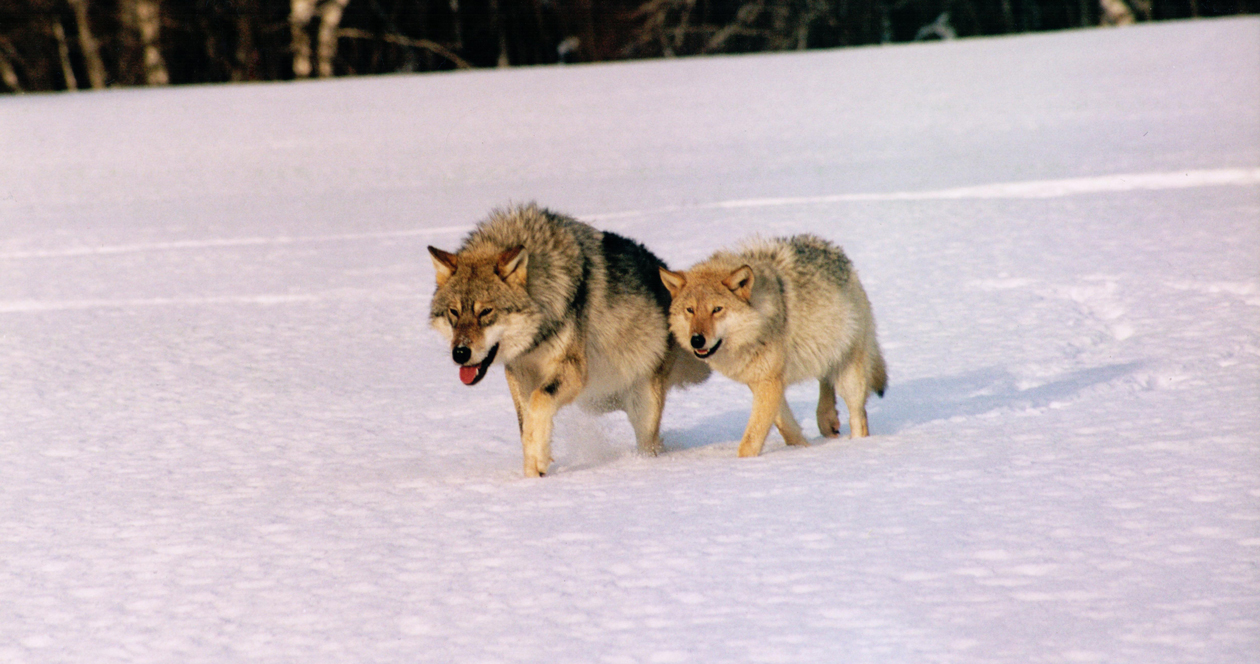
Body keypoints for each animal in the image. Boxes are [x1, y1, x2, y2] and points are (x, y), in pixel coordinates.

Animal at [428, 204, 709, 477]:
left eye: (485, 311)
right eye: (454, 312)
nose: (460, 353)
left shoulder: (572, 370)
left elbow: (539, 401)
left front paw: (538, 462)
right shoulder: (519, 371)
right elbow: (525, 422)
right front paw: (532, 474)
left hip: (642, 406)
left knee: (650, 444)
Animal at [659, 234, 886, 458]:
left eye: (717, 309)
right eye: (690, 310)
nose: (696, 340)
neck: (757, 325)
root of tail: (842, 258)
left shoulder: (768, 382)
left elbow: (750, 441)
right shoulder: (763, 381)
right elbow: (785, 425)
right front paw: (800, 448)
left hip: (850, 377)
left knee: (859, 417)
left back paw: (857, 446)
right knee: (826, 378)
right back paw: (827, 420)